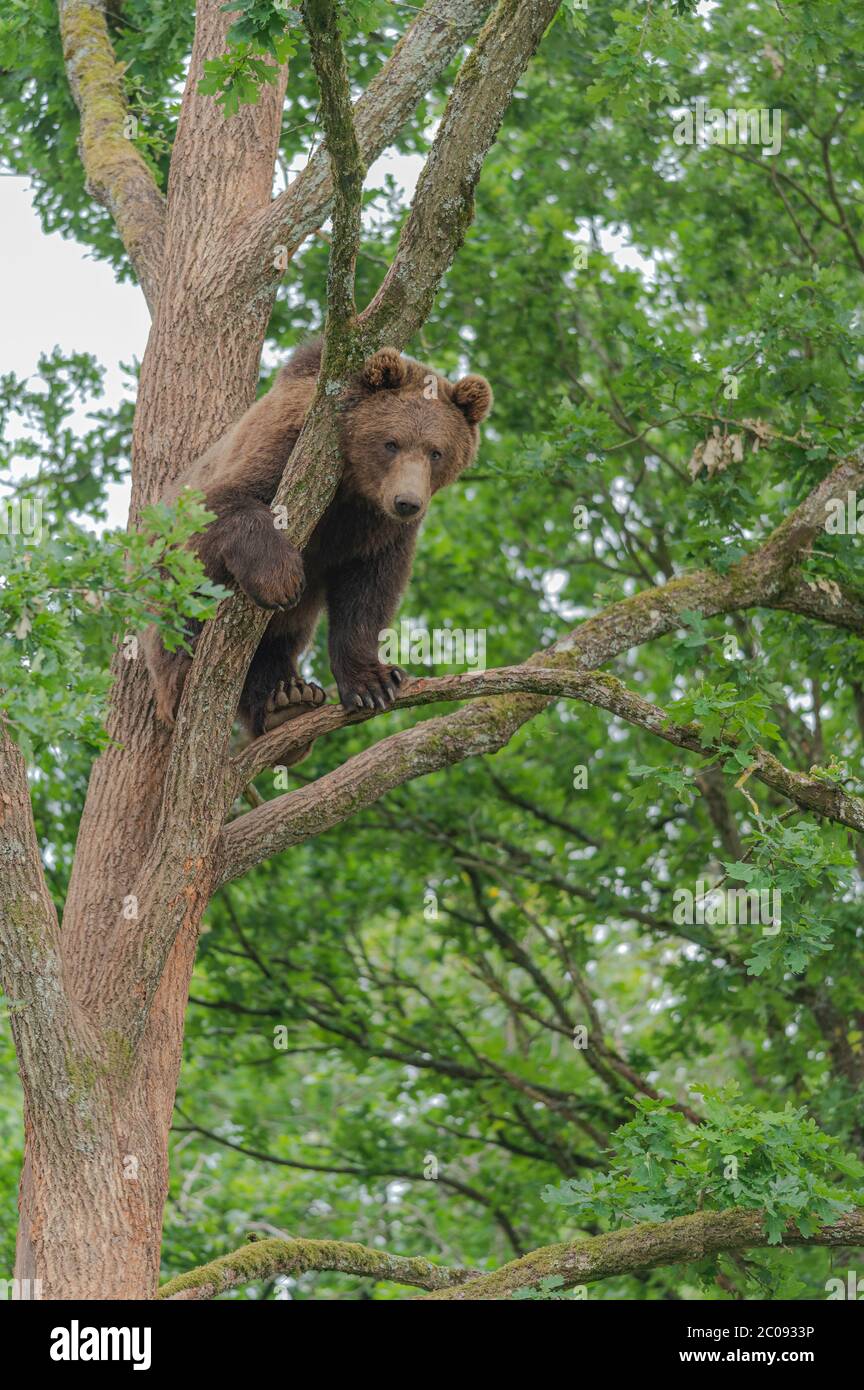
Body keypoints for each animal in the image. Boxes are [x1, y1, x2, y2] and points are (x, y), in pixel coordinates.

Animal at [142, 339, 493, 742]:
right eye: (391, 443)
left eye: (436, 452)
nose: (407, 502)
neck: (354, 487)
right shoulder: (282, 449)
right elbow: (222, 504)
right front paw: (281, 579)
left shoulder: (379, 532)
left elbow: (368, 593)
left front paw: (374, 682)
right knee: (182, 606)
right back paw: (188, 676)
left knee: (277, 644)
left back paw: (287, 699)